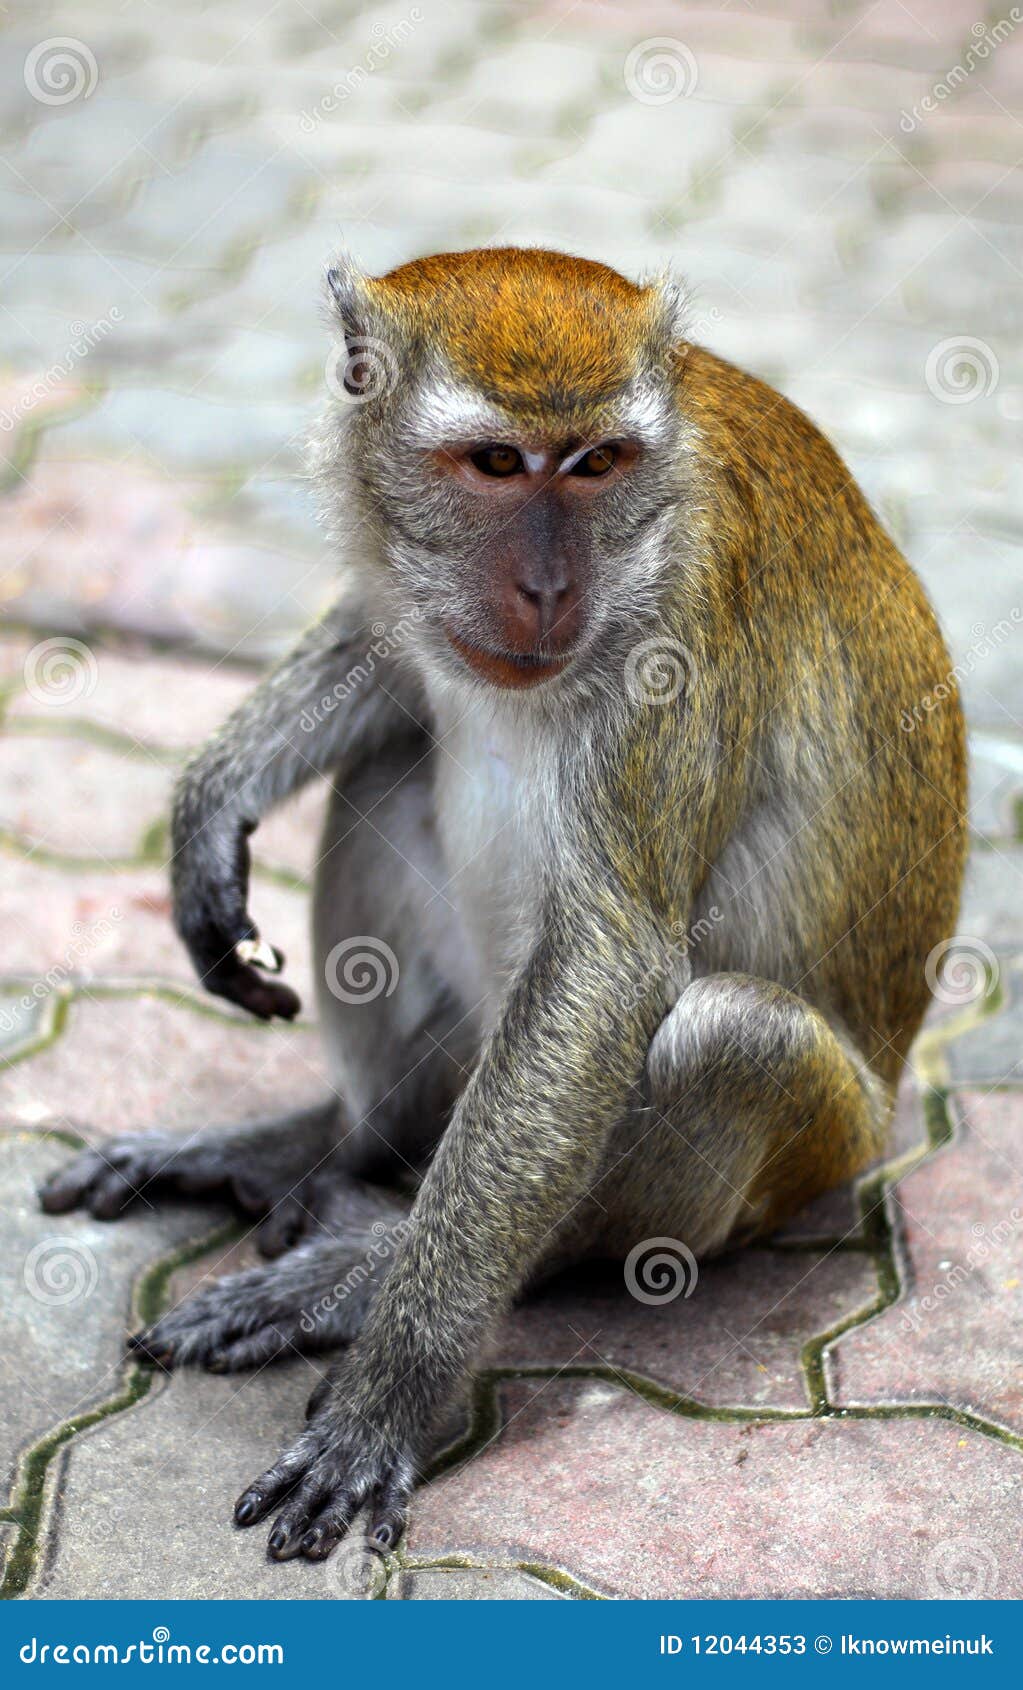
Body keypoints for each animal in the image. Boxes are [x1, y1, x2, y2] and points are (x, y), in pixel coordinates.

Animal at [40, 246, 967, 1564]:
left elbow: (608, 969)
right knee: (393, 762)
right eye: (493, 465)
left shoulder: (684, 628)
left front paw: (390, 1389)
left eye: (597, 464)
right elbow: (388, 645)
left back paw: (365, 1261)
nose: (542, 587)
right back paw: (318, 1142)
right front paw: (213, 795)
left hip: (814, 1155)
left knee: (724, 1038)